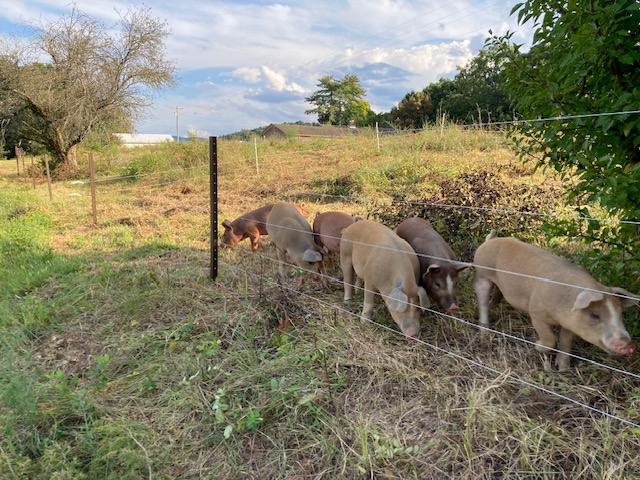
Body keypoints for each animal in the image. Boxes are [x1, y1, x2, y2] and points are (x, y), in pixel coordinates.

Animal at [473, 232, 639, 371]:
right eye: (595, 315)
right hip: (482, 274)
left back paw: (493, 307)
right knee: (482, 304)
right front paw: (537, 345)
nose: (629, 344)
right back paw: (484, 333)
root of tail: (490, 240)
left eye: (620, 314)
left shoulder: (570, 325)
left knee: (497, 293)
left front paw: (563, 369)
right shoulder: (536, 313)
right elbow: (550, 339)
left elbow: (565, 343)